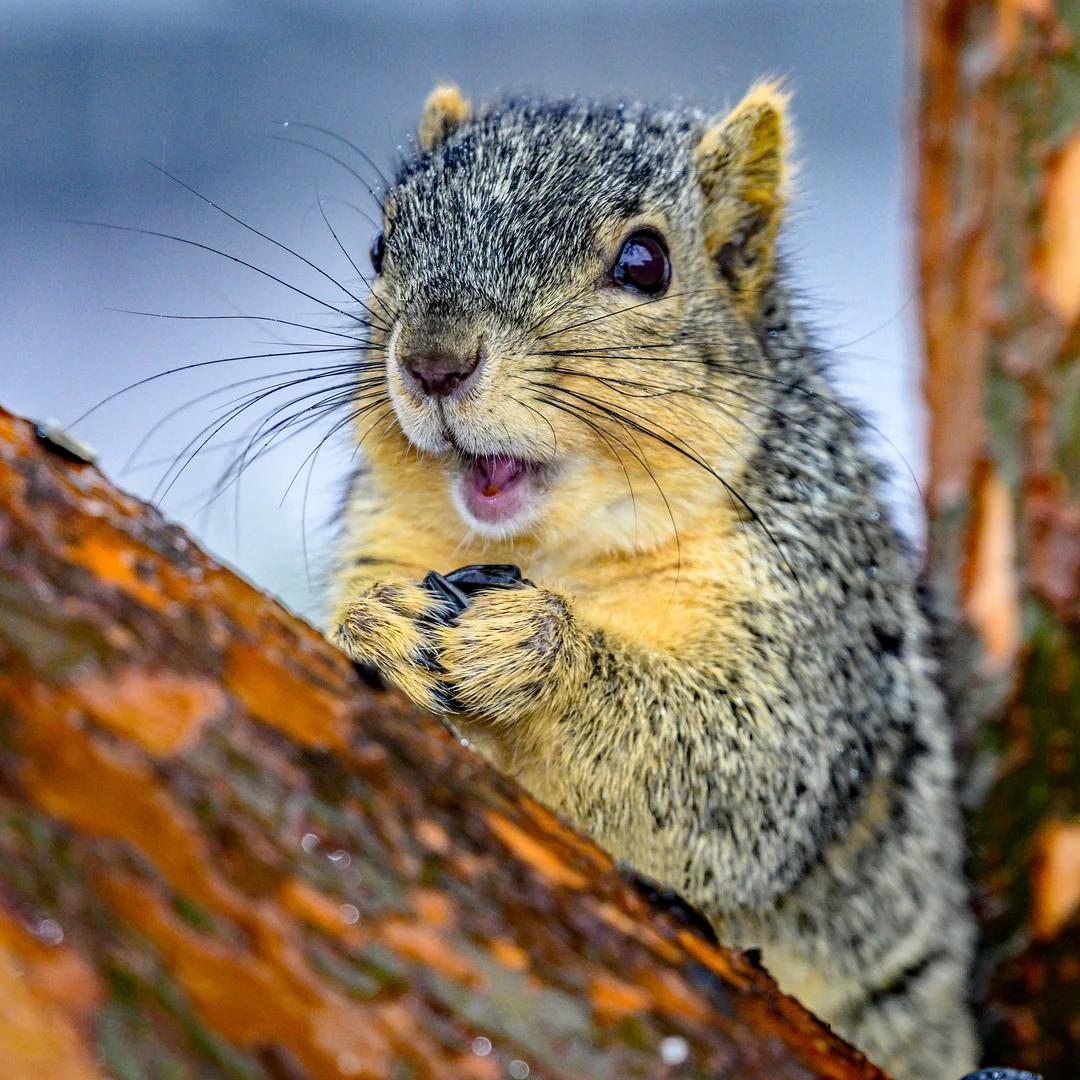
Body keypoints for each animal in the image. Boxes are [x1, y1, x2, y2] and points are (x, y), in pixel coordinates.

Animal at [327, 82, 979, 1080]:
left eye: (645, 263)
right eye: (381, 242)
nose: (433, 360)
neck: (552, 550)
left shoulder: (809, 616)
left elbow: (748, 774)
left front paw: (532, 653)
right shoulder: (384, 537)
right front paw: (379, 629)